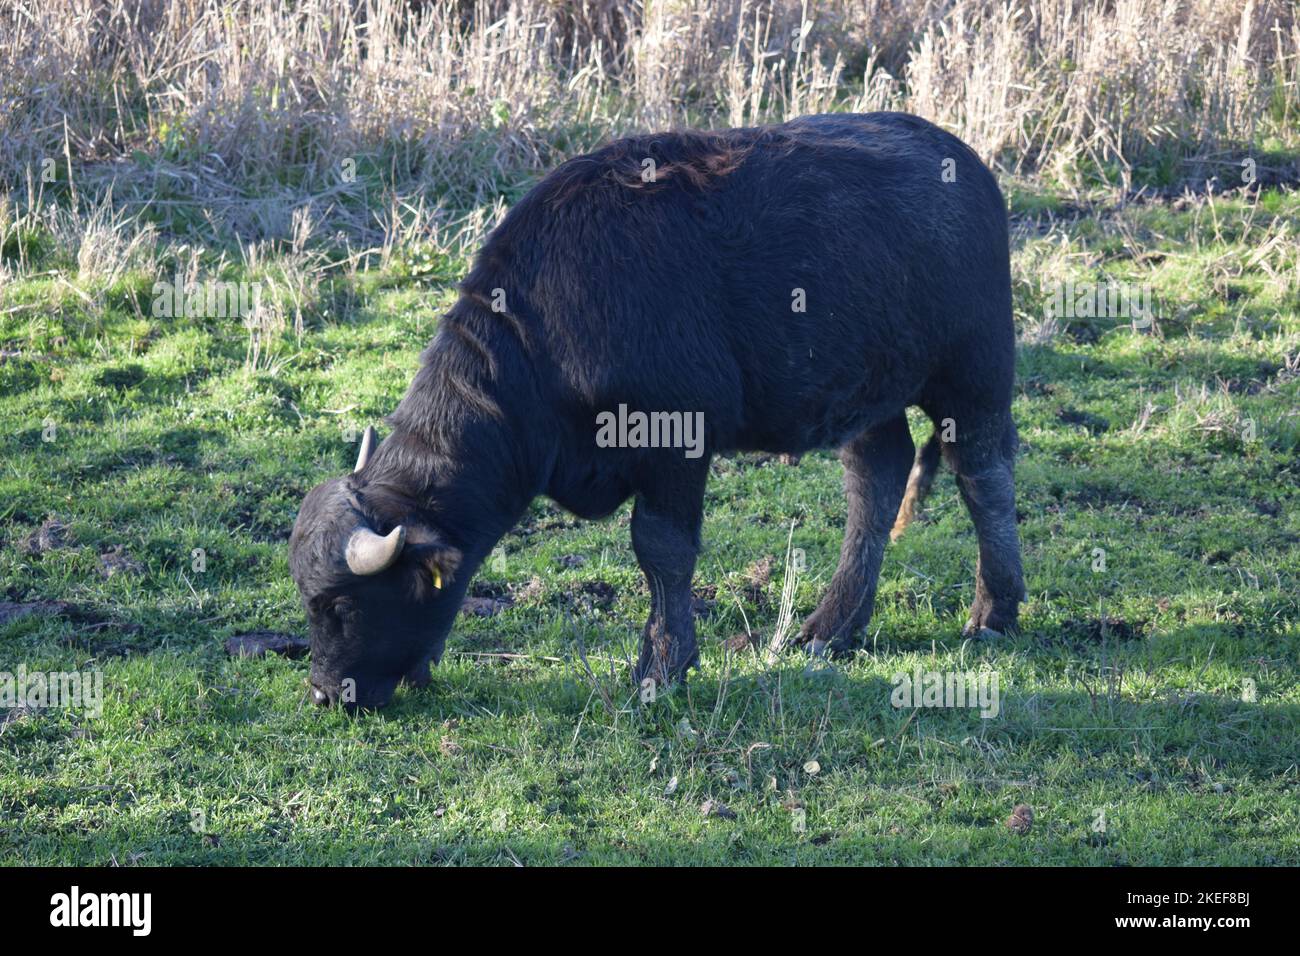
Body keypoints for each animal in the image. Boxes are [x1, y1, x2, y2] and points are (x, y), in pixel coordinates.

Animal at [289, 111, 1025, 709]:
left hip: (974, 370)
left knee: (981, 471)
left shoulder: (676, 443)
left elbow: (662, 550)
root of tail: (965, 163)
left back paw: (994, 611)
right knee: (878, 473)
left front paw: (661, 669)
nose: (326, 694)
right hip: (868, 389)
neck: (546, 337)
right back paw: (831, 627)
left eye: (342, 606)